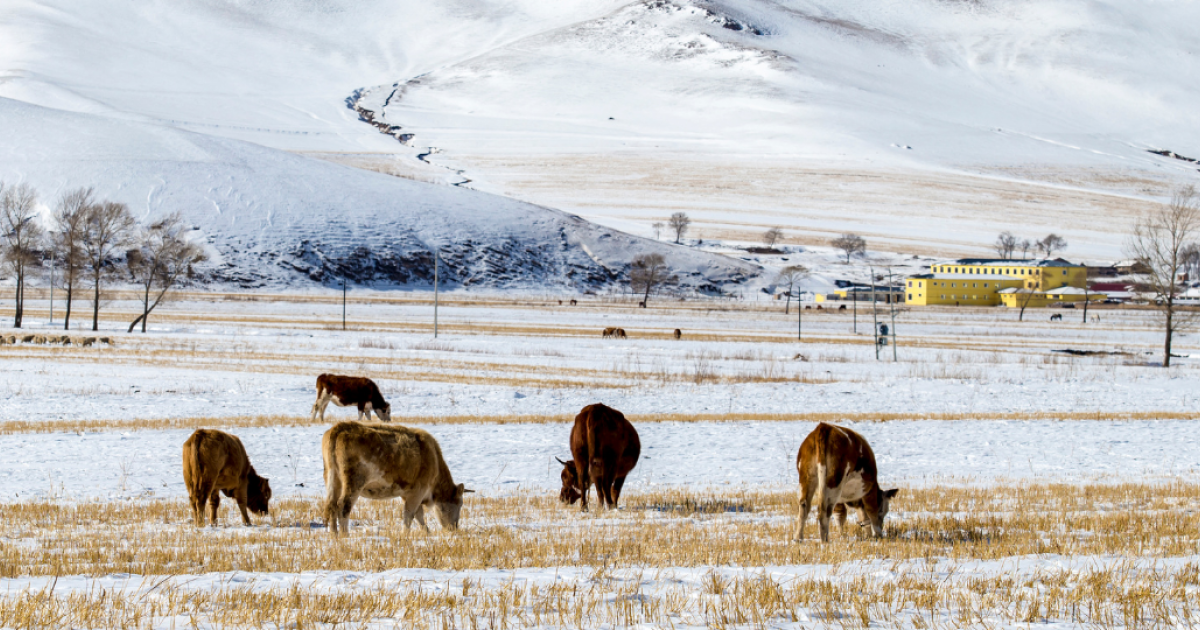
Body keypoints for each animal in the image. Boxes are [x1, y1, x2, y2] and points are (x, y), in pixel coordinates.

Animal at [322, 421, 472, 535]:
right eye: (460, 504)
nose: (454, 528)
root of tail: (339, 428)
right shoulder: (418, 491)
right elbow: (410, 515)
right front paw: (405, 534)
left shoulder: (408, 494)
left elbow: (418, 515)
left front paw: (426, 532)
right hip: (354, 482)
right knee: (343, 505)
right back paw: (345, 536)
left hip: (332, 478)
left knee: (331, 504)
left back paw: (334, 535)